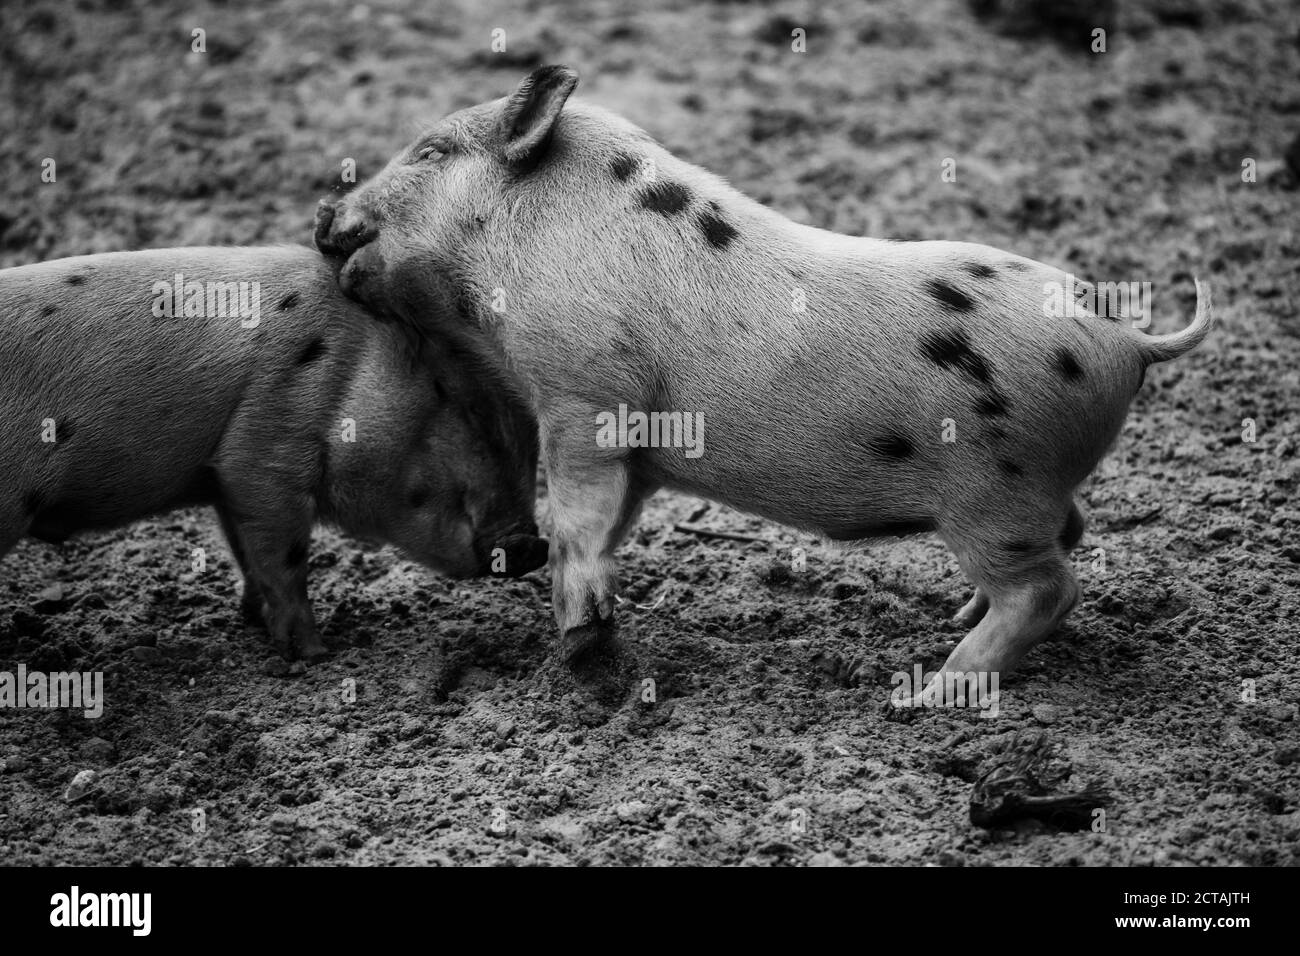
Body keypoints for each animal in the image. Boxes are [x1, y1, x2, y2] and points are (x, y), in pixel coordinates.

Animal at [0, 245, 547, 660]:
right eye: (461, 404)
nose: (533, 545)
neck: (351, 370)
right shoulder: (265, 456)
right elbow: (284, 558)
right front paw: (316, 654)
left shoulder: (225, 477)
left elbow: (247, 551)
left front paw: (252, 620)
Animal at [314, 66, 1214, 701]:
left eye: (431, 152)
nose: (324, 216)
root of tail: (1128, 339)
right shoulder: (634, 447)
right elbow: (609, 530)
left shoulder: (582, 397)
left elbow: (574, 525)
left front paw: (576, 653)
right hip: (1027, 493)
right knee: (1073, 533)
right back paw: (952, 620)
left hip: (996, 493)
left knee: (1048, 590)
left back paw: (924, 695)